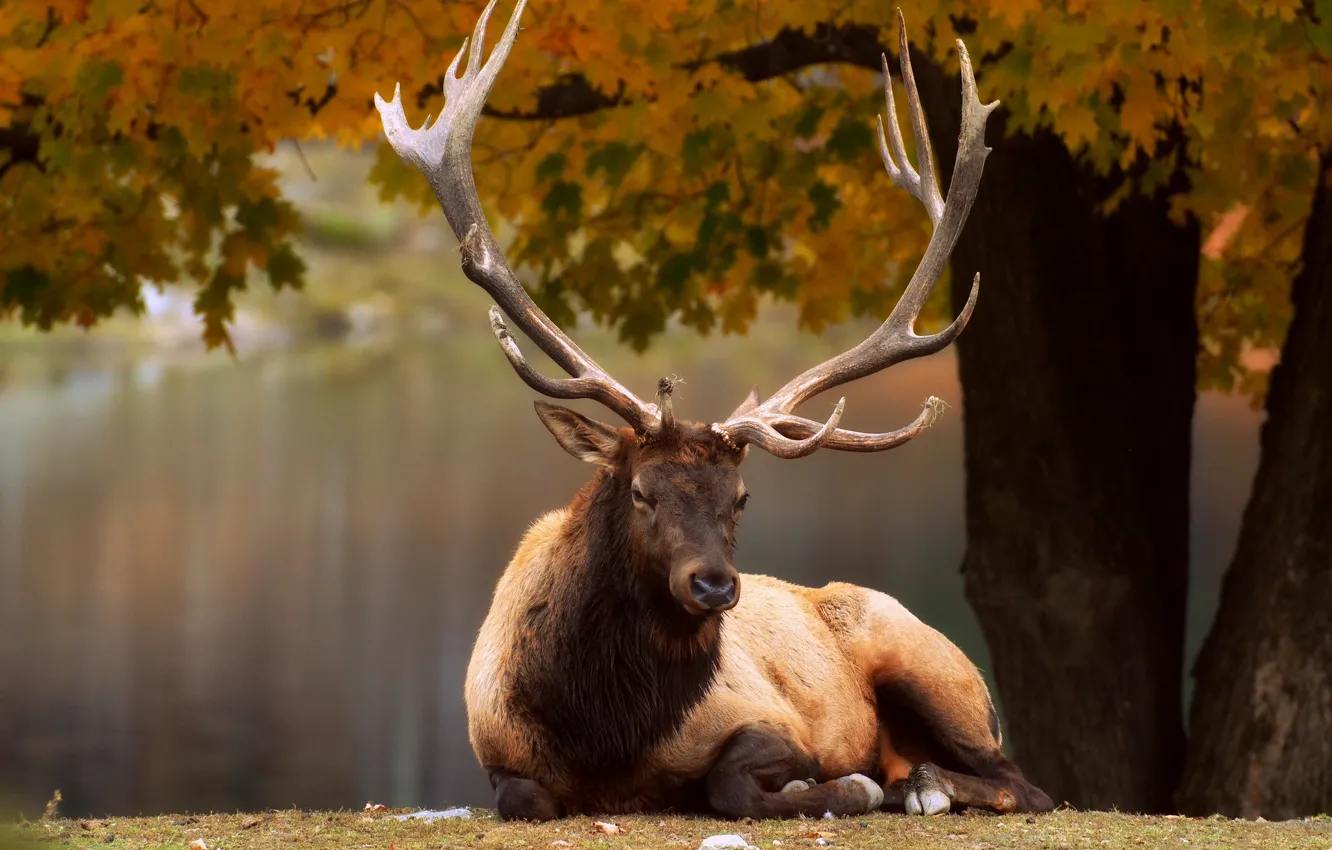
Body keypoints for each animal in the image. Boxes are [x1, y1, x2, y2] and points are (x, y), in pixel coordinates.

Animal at [374, 0, 1054, 822]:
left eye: (741, 496)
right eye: (640, 490)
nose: (716, 587)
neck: (603, 734)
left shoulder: (774, 719)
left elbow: (734, 784)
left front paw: (844, 785)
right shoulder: (495, 752)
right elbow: (527, 799)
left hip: (936, 668)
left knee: (1024, 782)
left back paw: (920, 785)